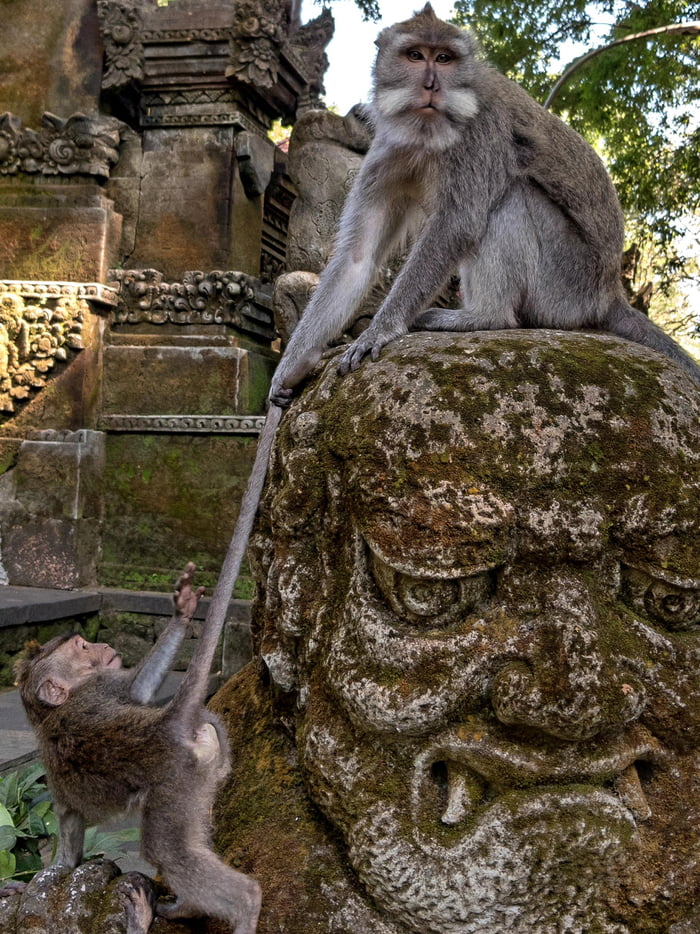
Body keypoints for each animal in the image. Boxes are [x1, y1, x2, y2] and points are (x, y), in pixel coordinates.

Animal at [14, 563, 262, 934]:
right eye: (83, 647)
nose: (101, 643)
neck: (49, 714)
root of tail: (170, 722)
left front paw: (182, 612)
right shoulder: (99, 689)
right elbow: (138, 689)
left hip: (183, 781)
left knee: (170, 851)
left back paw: (228, 904)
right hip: (191, 781)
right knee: (177, 848)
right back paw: (204, 906)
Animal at [268, 2, 700, 405]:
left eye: (444, 58)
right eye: (415, 55)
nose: (431, 85)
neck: (428, 132)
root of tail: (610, 292)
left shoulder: (484, 130)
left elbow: (457, 224)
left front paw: (380, 329)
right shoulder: (386, 154)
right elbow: (357, 258)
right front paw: (293, 364)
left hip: (567, 287)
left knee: (511, 197)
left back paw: (484, 317)